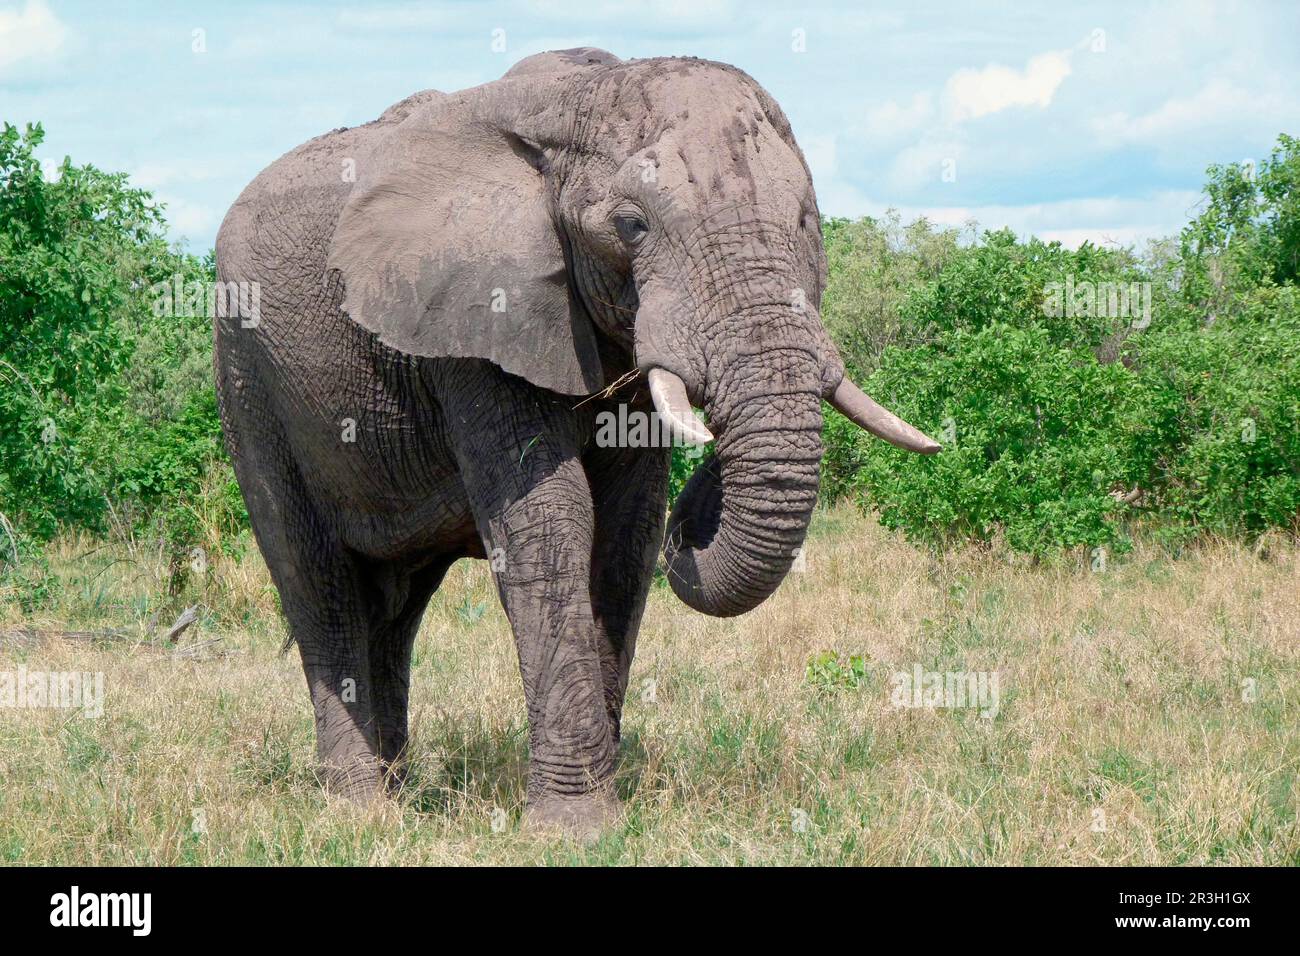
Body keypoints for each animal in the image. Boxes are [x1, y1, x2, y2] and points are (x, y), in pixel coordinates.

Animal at [213, 47, 938, 835]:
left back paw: (400, 797)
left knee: (394, 610)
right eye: (632, 225)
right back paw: (360, 813)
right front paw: (576, 827)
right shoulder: (473, 327)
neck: (574, 103)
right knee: (318, 584)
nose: (703, 499)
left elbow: (625, 533)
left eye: (806, 220)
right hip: (248, 378)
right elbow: (551, 524)